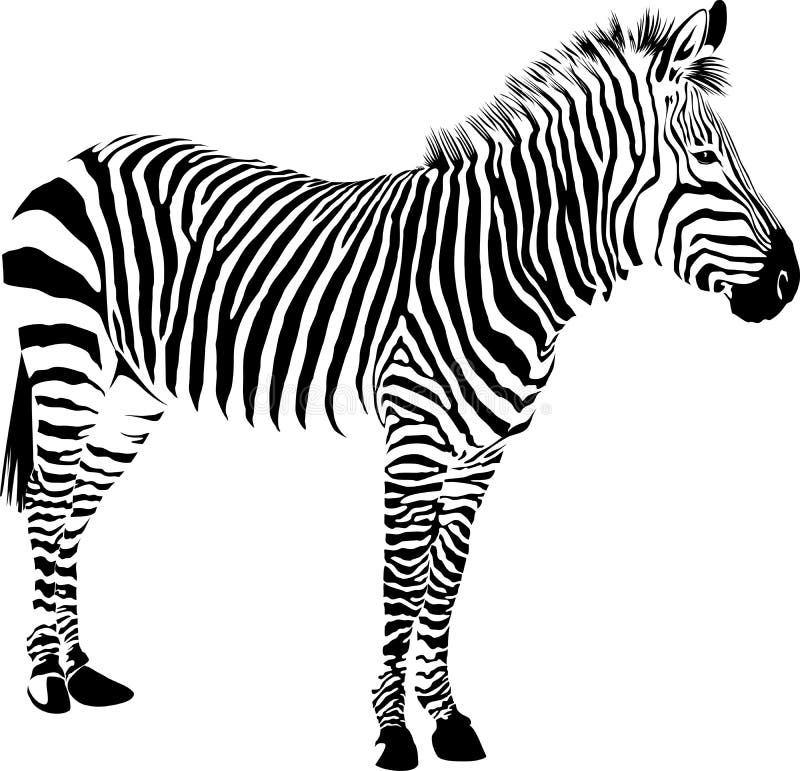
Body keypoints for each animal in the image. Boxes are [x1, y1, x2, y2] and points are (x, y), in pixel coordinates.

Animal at [1, 2, 796, 768]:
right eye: (705, 160)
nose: (789, 282)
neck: (506, 265)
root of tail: (80, 156)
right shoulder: (413, 438)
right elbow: (403, 580)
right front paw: (391, 733)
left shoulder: (483, 452)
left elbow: (445, 583)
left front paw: (447, 719)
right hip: (66, 360)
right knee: (45, 505)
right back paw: (46, 681)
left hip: (132, 395)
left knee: (76, 512)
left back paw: (83, 672)